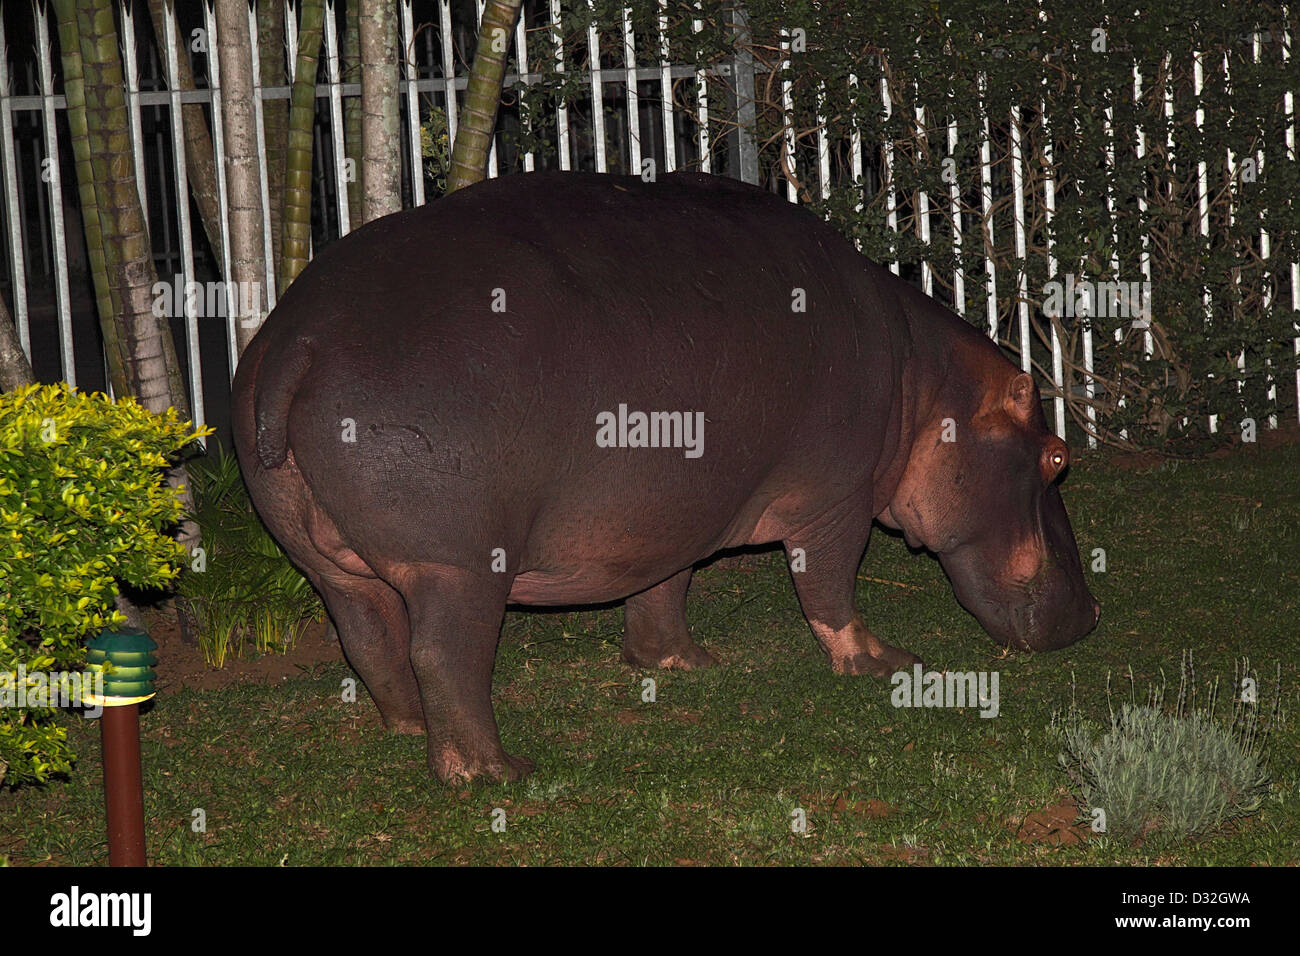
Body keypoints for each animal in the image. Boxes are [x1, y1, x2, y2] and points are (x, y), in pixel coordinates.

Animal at [231, 171, 1099, 784]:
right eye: (1058, 457)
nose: (1092, 612)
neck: (929, 389)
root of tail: (297, 341)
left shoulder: (679, 506)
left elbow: (663, 586)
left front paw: (682, 664)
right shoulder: (836, 498)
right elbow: (829, 588)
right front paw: (888, 664)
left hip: (329, 563)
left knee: (371, 638)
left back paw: (409, 729)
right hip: (458, 566)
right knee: (444, 655)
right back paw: (494, 773)